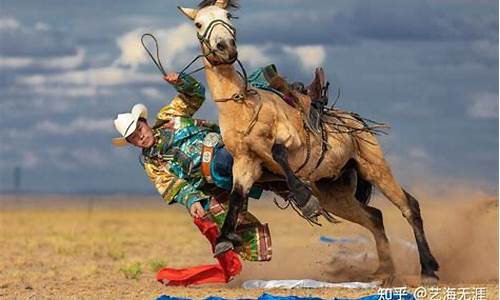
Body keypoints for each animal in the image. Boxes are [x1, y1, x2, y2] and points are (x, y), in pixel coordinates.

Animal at [178, 0, 440, 282]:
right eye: (198, 24)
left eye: (227, 15)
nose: (225, 46)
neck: (243, 107)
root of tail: (355, 121)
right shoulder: (245, 164)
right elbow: (237, 195)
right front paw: (225, 240)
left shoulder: (292, 142)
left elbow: (278, 152)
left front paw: (305, 199)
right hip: (334, 193)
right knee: (375, 217)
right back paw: (384, 271)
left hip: (374, 167)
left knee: (409, 207)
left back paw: (428, 269)